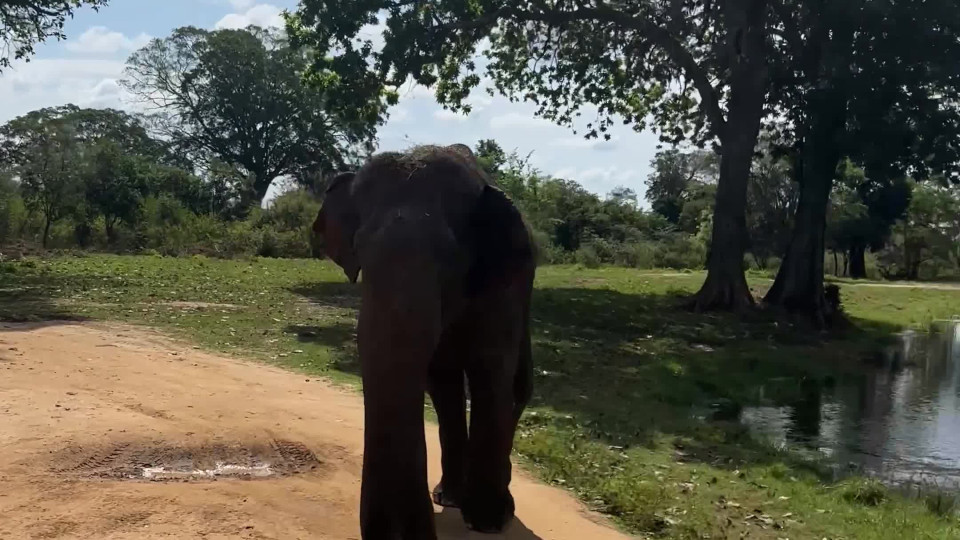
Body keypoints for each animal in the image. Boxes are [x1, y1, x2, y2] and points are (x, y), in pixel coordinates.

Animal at [311, 144, 536, 539]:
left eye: (451, 258)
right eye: (359, 250)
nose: (396, 535)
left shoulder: (502, 285)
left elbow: (491, 368)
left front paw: (488, 521)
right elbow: (435, 376)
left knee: (515, 384)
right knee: (448, 386)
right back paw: (450, 496)